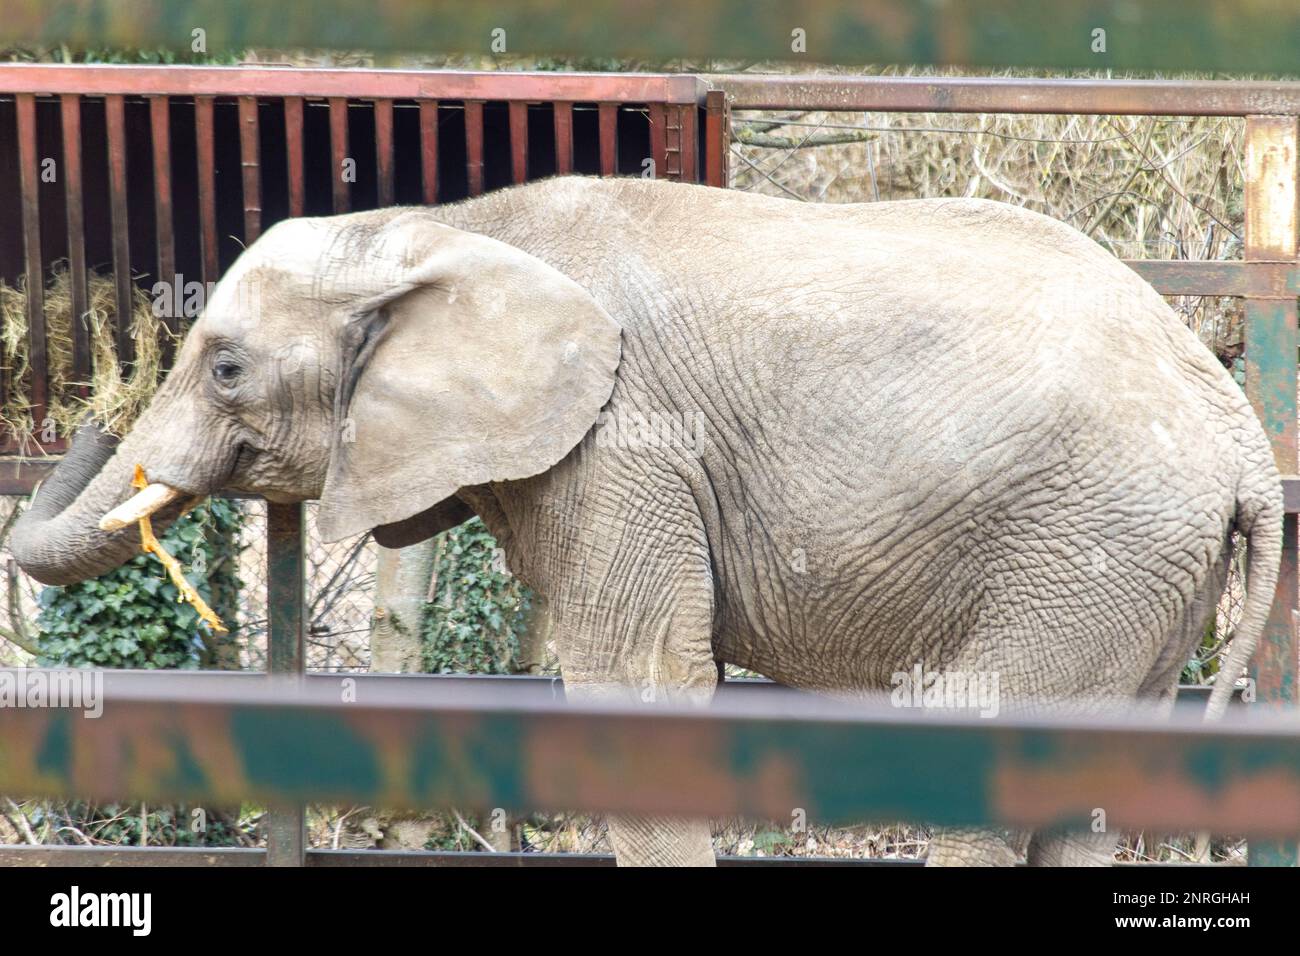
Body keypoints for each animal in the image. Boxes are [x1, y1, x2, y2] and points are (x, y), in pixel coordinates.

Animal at [11, 176, 1282, 867]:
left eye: (225, 367)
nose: (87, 412)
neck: (458, 225)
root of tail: (1240, 434)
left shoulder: (626, 449)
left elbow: (642, 689)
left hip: (1091, 544)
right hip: (1137, 573)